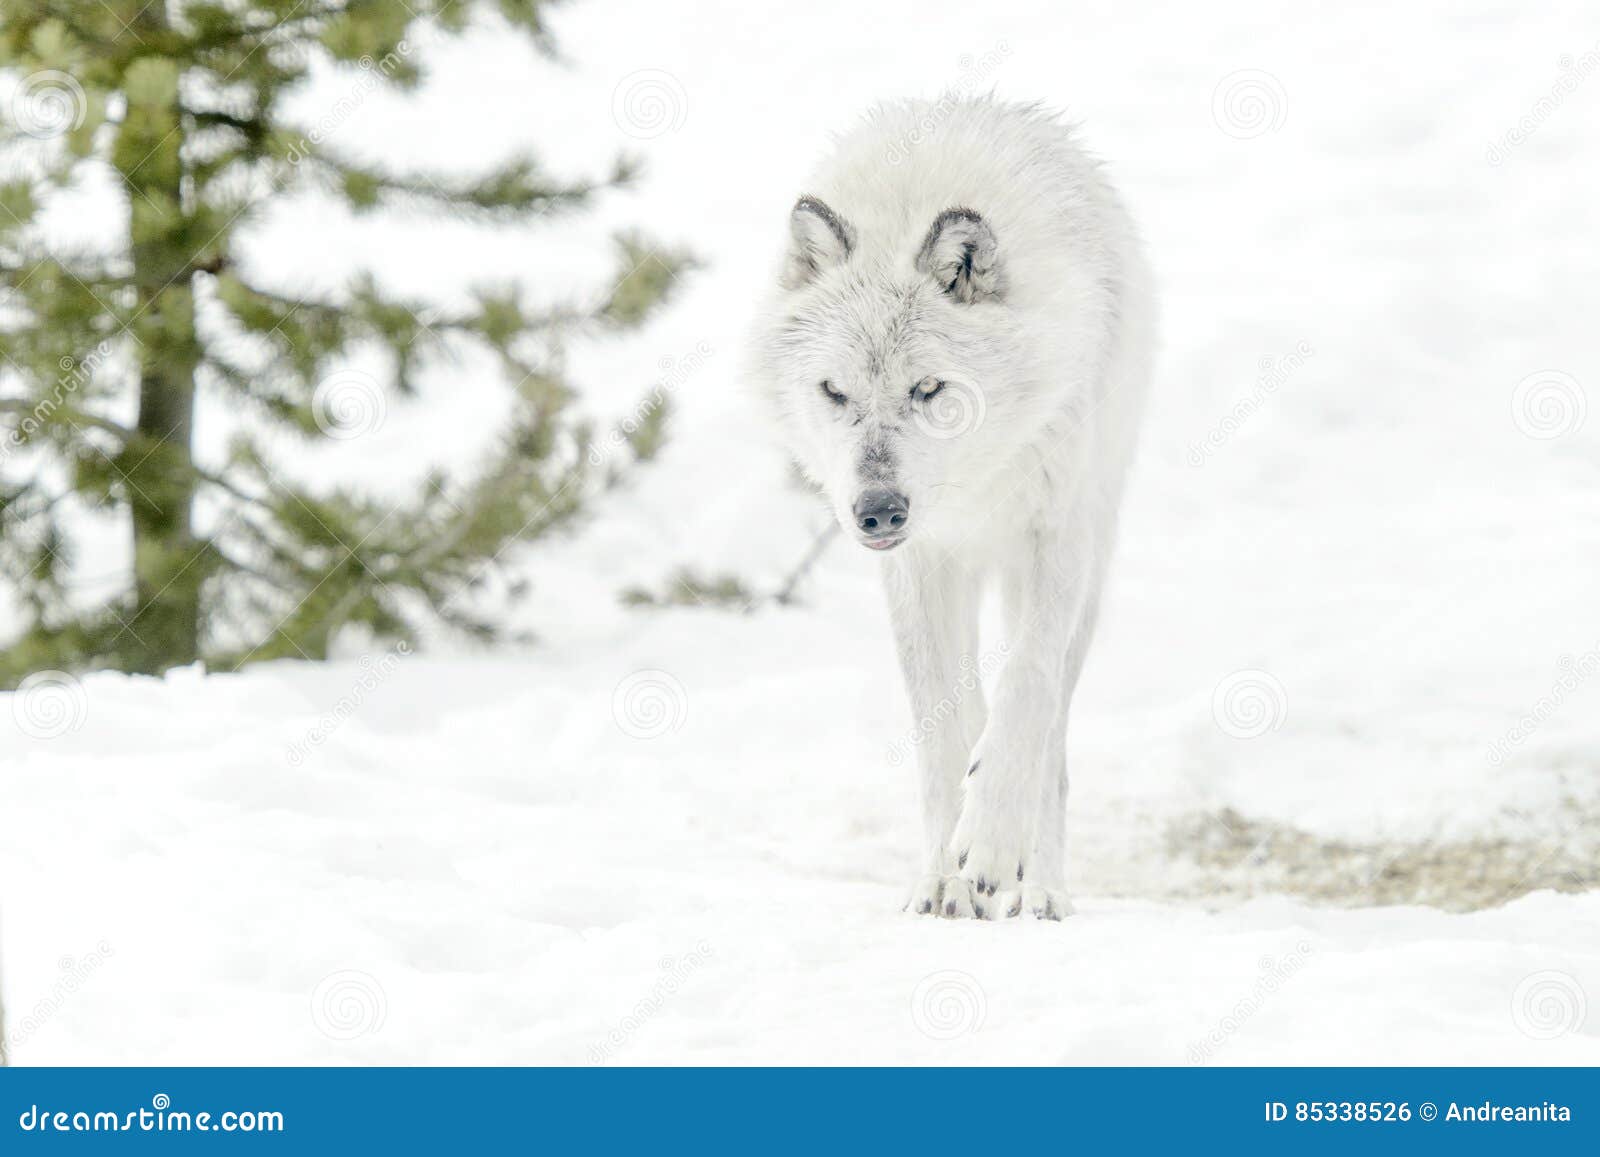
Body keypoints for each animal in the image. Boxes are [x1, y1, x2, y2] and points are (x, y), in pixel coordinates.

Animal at [751, 97, 1154, 919]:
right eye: (834, 391)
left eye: (929, 388)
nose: (877, 511)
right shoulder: (921, 569)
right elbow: (940, 730)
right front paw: (945, 879)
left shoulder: (1053, 537)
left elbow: (1025, 688)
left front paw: (995, 843)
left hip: (1088, 565)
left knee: (1051, 738)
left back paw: (1042, 889)